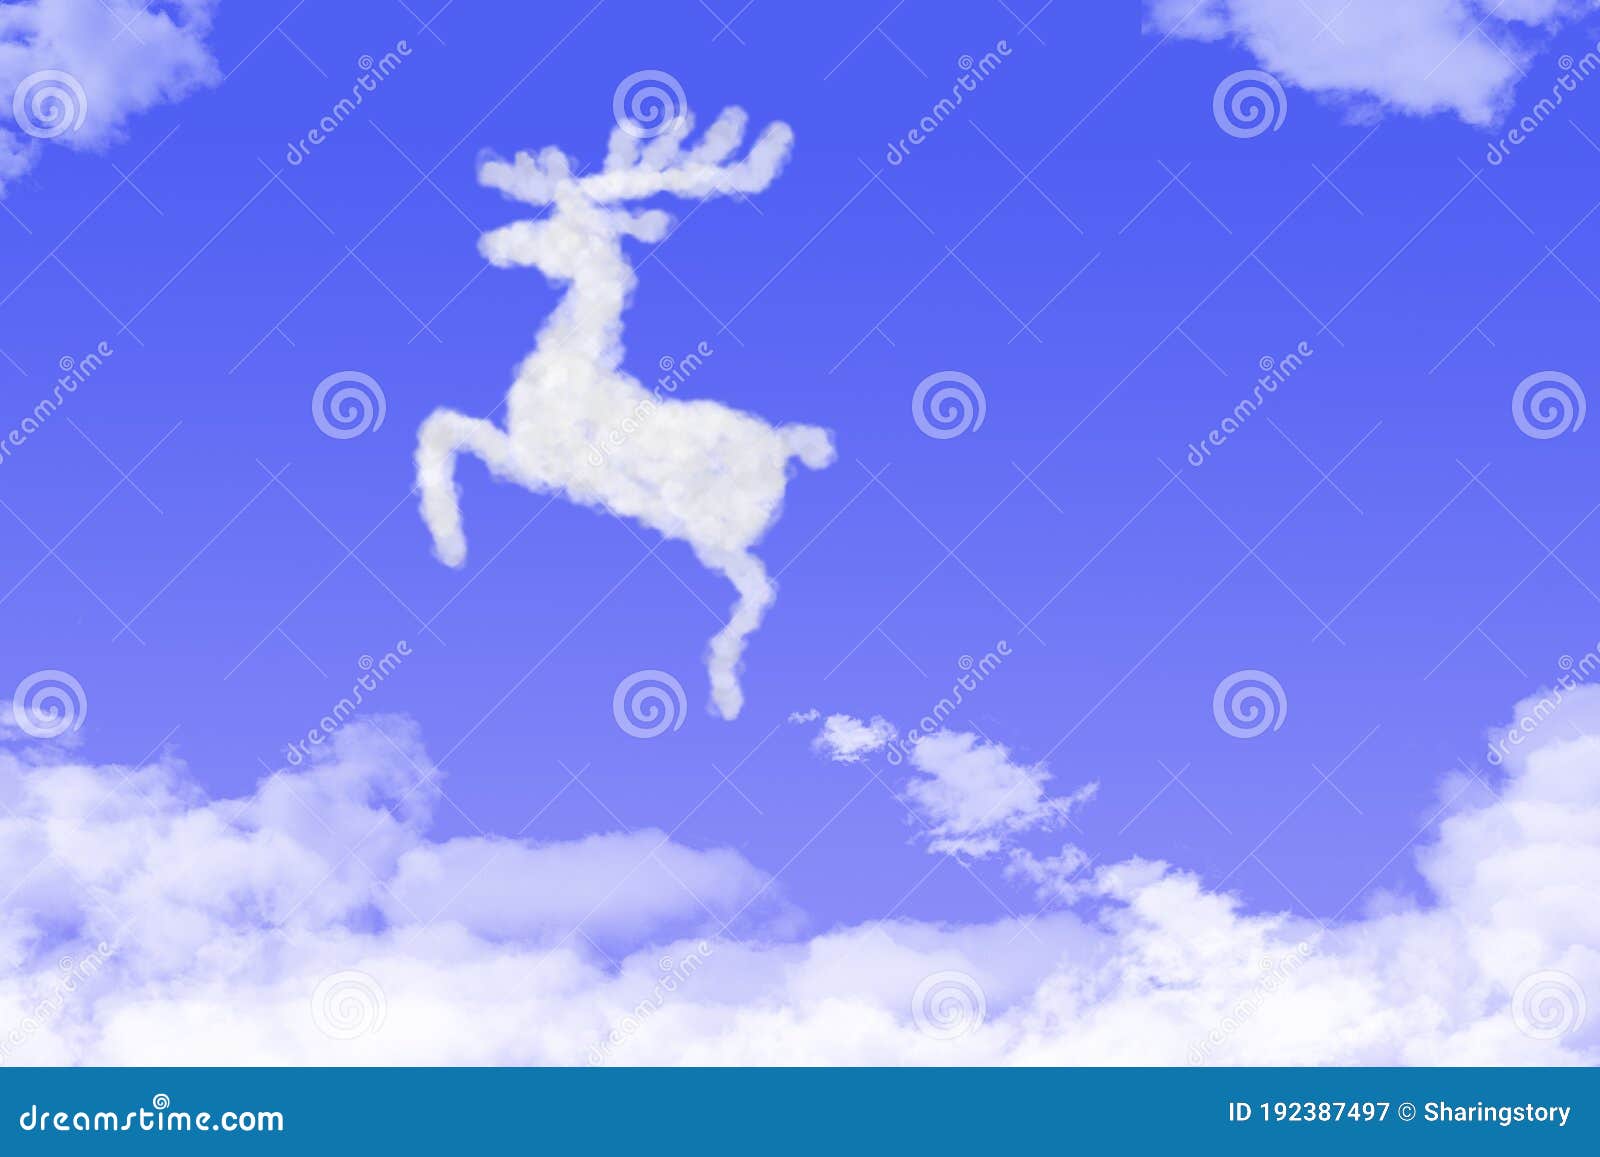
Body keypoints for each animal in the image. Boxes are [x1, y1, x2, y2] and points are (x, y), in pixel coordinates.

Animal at [416, 106, 835, 722]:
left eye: (560, 228)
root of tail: (785, 449)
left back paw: (726, 693)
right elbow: (440, 427)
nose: (492, 243)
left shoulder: (530, 461)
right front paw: (451, 544)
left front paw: (451, 546)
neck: (570, 361)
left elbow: (440, 429)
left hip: (713, 534)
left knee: (757, 592)